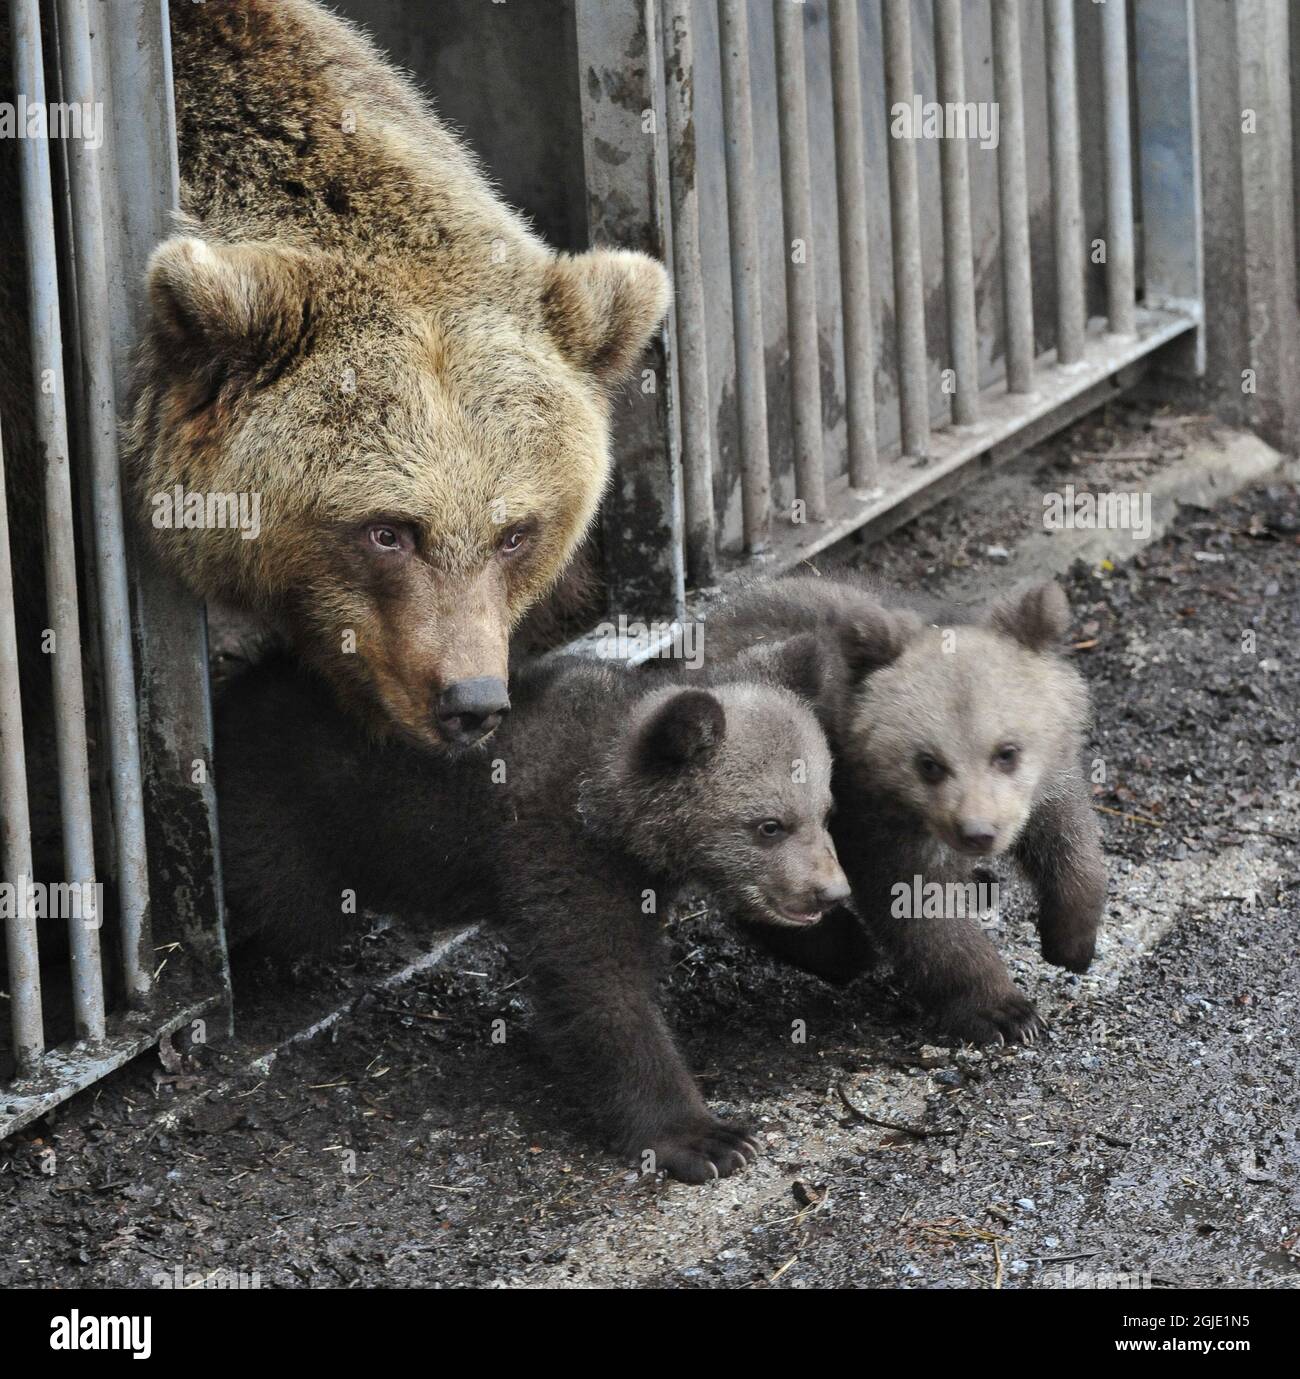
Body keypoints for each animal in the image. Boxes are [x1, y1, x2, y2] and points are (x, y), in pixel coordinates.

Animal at [214, 641, 850, 1182]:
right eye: (769, 825)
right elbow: (601, 990)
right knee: (281, 908)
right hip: (286, 830)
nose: (831, 892)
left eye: (824, 810)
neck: (616, 812)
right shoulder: (561, 851)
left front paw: (840, 952)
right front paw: (706, 1139)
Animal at [671, 574, 1107, 1044]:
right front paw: (1006, 1012)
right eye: (928, 763)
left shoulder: (1043, 787)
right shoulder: (872, 819)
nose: (977, 833)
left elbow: (1070, 837)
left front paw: (1071, 942)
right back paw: (845, 950)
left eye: (1007, 752)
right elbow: (918, 910)